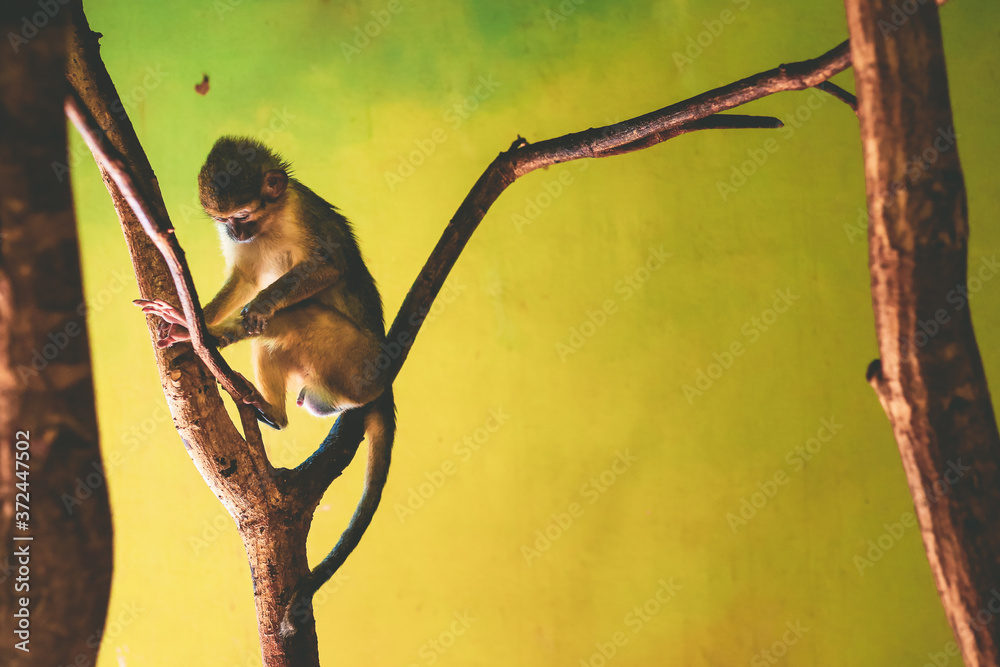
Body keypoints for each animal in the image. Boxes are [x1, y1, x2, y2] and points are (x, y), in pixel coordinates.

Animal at [135, 136, 394, 620]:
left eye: (241, 217)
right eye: (224, 223)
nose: (236, 234)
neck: (271, 221)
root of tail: (382, 380)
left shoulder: (302, 210)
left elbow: (326, 266)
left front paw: (226, 320)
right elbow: (243, 278)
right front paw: (191, 319)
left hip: (355, 362)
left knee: (291, 315)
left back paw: (223, 340)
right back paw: (271, 409)